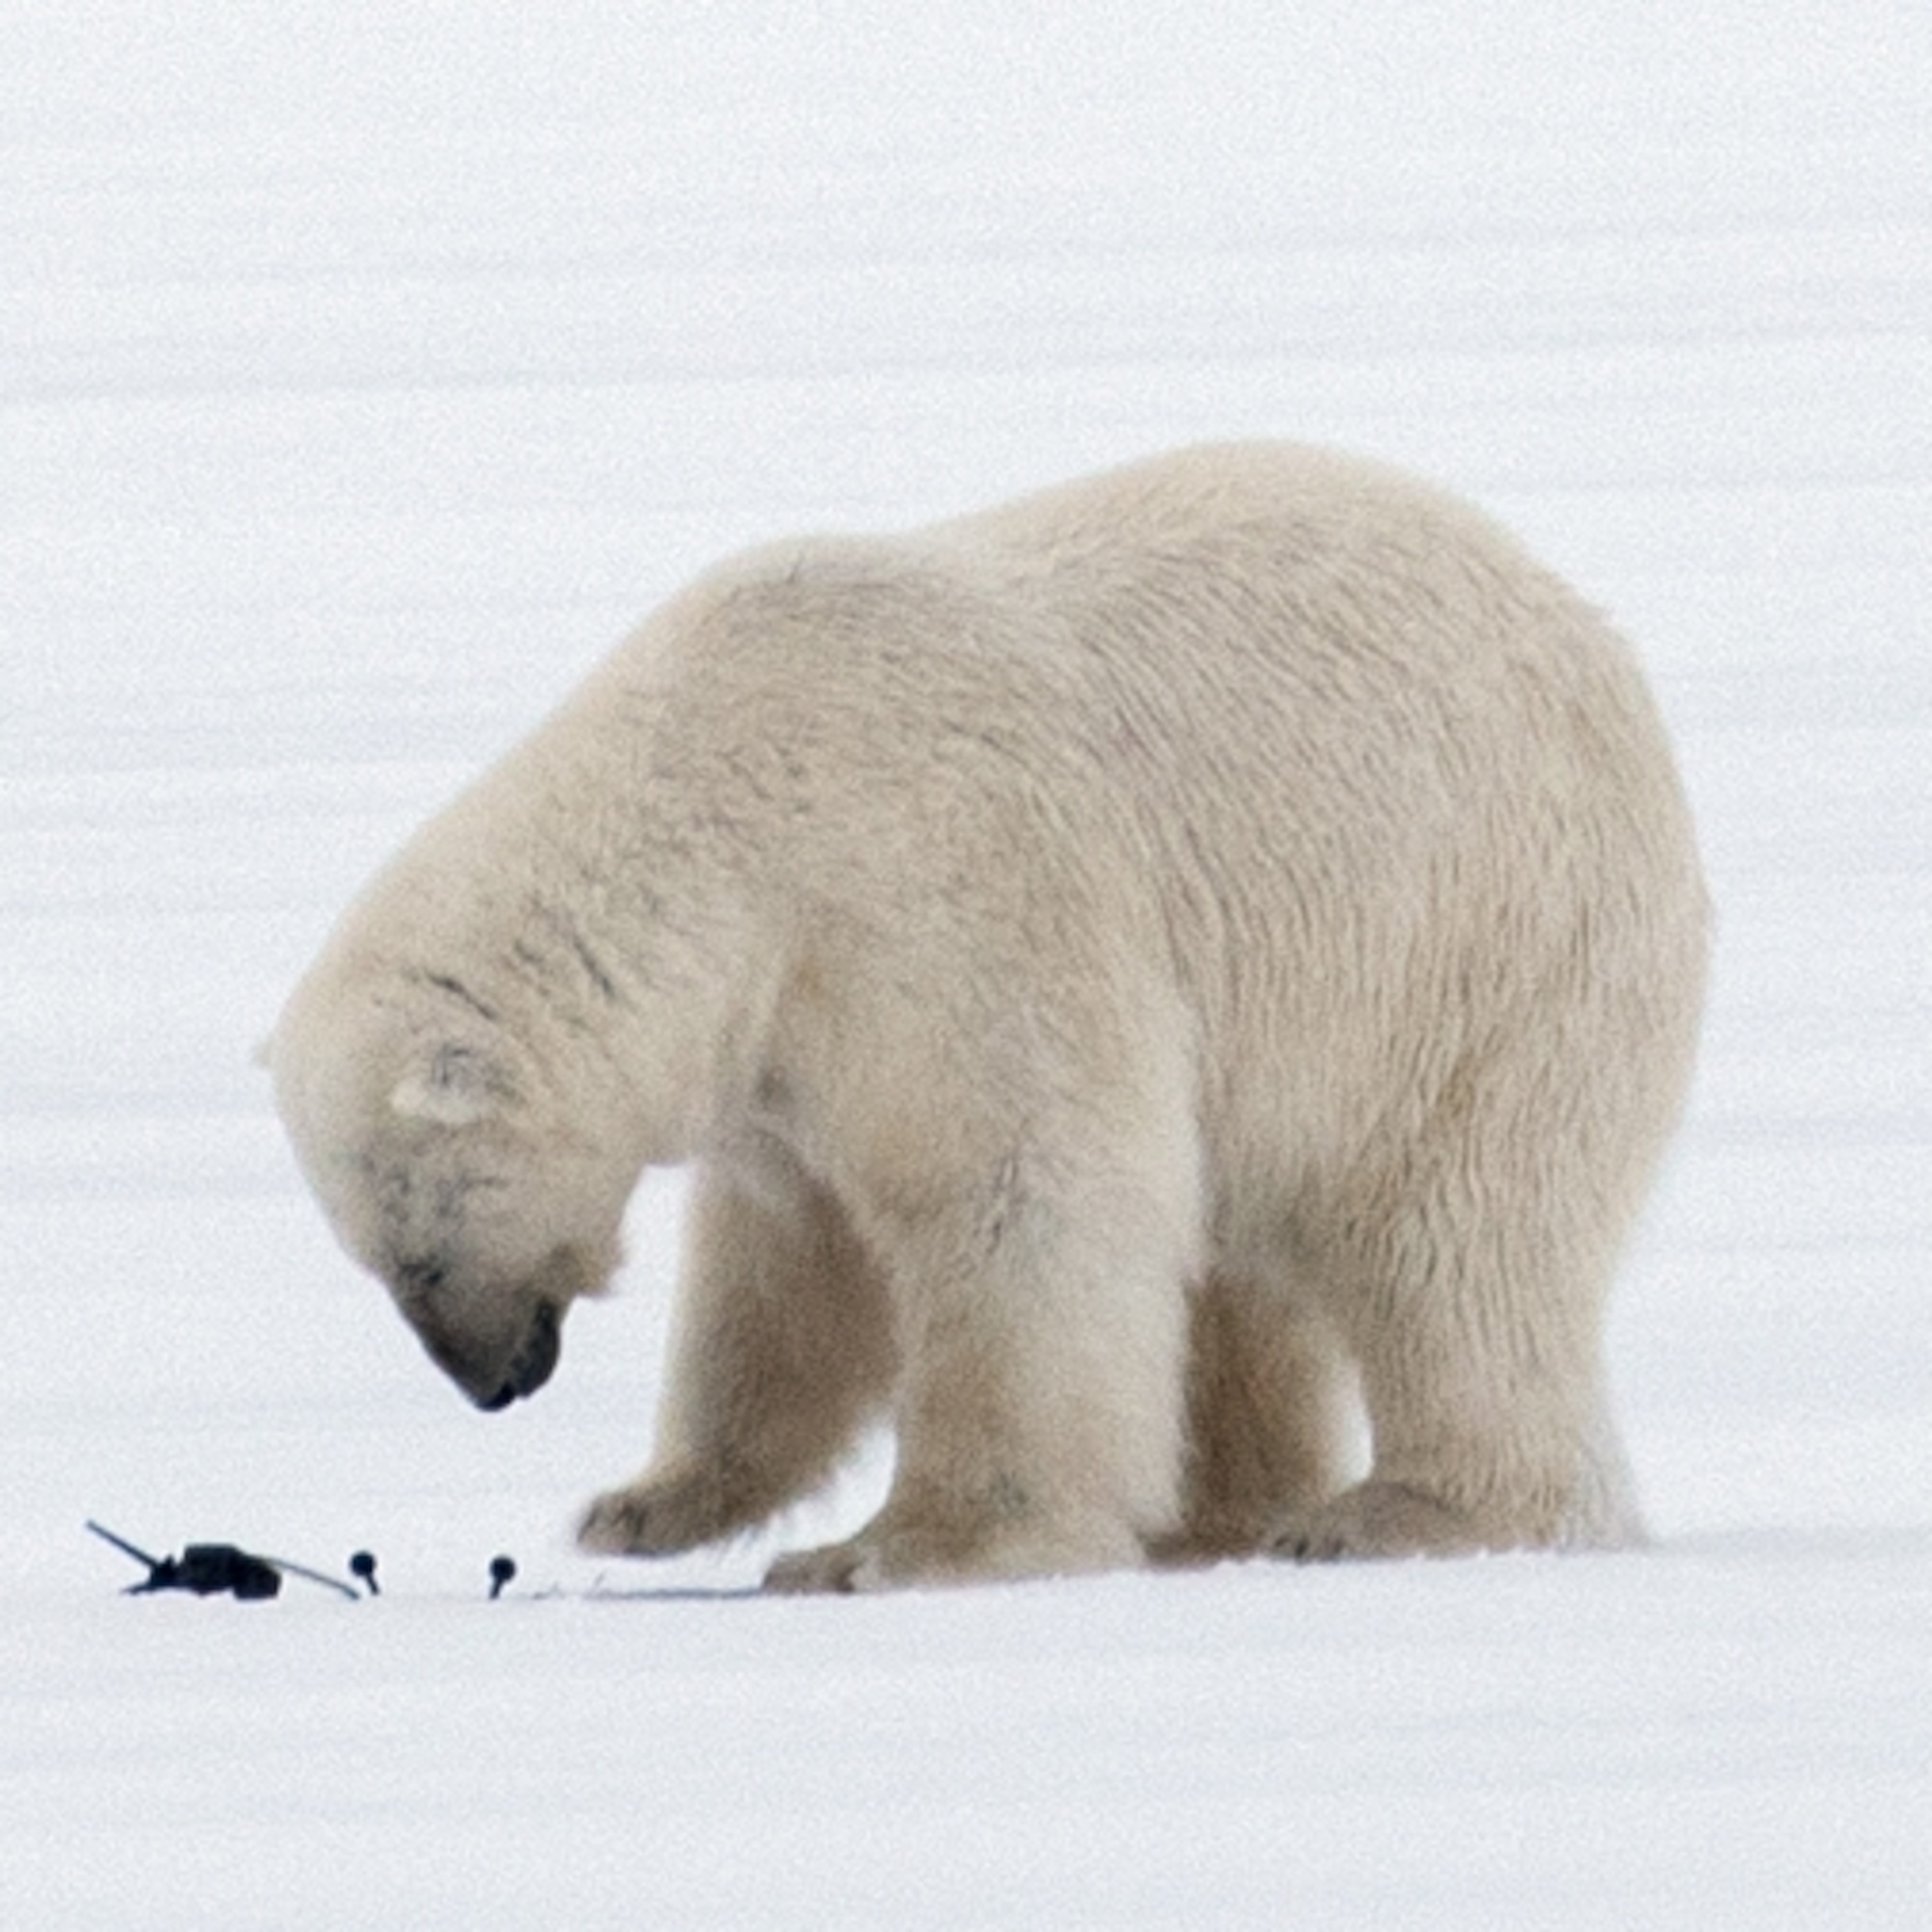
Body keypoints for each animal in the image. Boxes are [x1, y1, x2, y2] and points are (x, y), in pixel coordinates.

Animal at [266, 441, 1707, 1592]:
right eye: (377, 1257)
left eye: (423, 1243)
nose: (490, 1381)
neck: (730, 819)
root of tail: (1597, 641)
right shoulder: (783, 1038)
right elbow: (784, 1260)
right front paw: (646, 1505)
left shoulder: (942, 891)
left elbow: (1023, 1197)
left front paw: (898, 1550)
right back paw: (1221, 1512)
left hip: (1480, 952)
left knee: (1458, 1243)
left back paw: (1403, 1511)